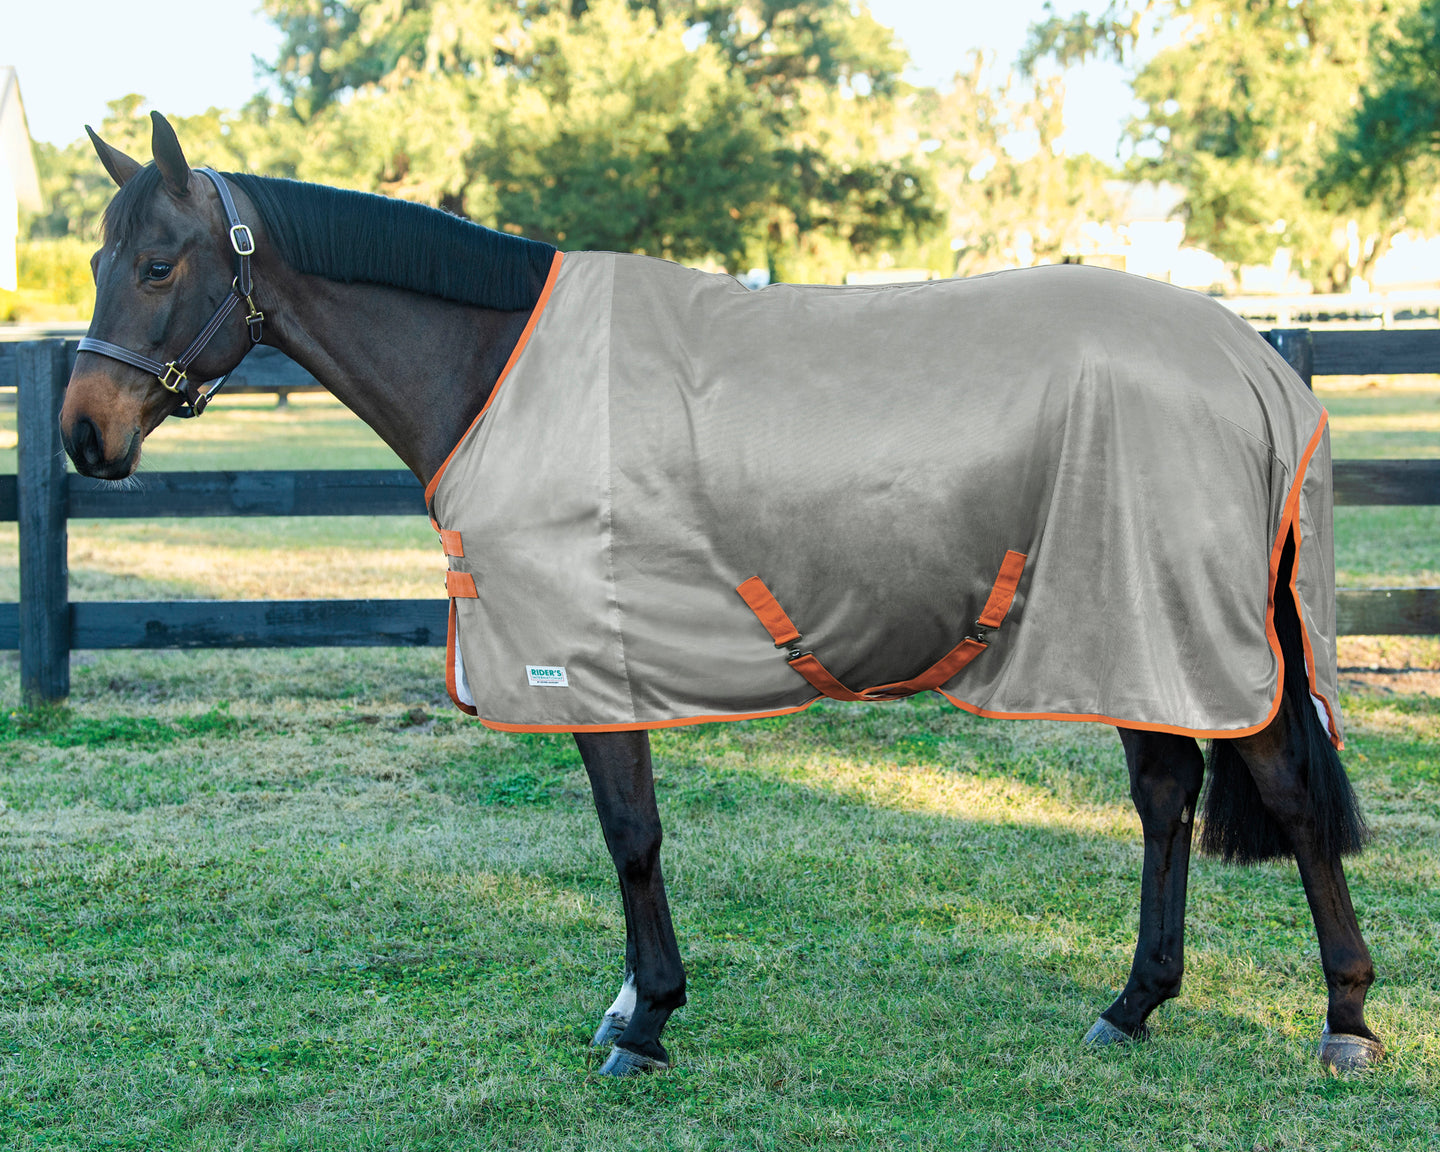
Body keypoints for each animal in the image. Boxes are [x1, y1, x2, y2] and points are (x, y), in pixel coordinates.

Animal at [60, 113, 1382, 1077]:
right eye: (95, 259)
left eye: (160, 262)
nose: (83, 433)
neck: (502, 374)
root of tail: (1255, 363)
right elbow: (631, 836)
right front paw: (631, 1006)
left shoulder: (580, 659)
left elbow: (630, 836)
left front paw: (646, 1022)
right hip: (1116, 625)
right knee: (1166, 793)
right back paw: (1135, 1003)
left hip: (1185, 628)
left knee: (1279, 792)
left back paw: (1347, 1019)